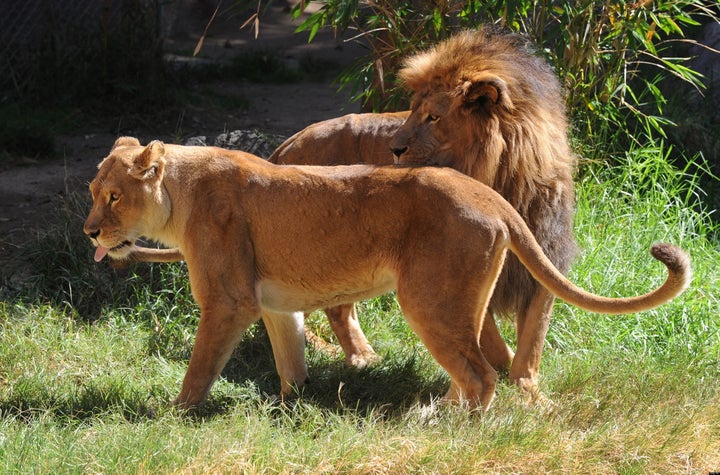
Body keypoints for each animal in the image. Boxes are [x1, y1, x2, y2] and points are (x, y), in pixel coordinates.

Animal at [85, 137, 690, 410]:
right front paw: (291, 407)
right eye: (93, 192)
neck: (178, 195)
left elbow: (199, 368)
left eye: (114, 196)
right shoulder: (276, 304)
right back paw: (437, 412)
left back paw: (447, 428)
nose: (91, 232)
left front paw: (175, 416)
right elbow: (289, 360)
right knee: (473, 369)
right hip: (458, 303)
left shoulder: (229, 301)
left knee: (481, 375)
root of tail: (488, 192)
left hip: (427, 299)